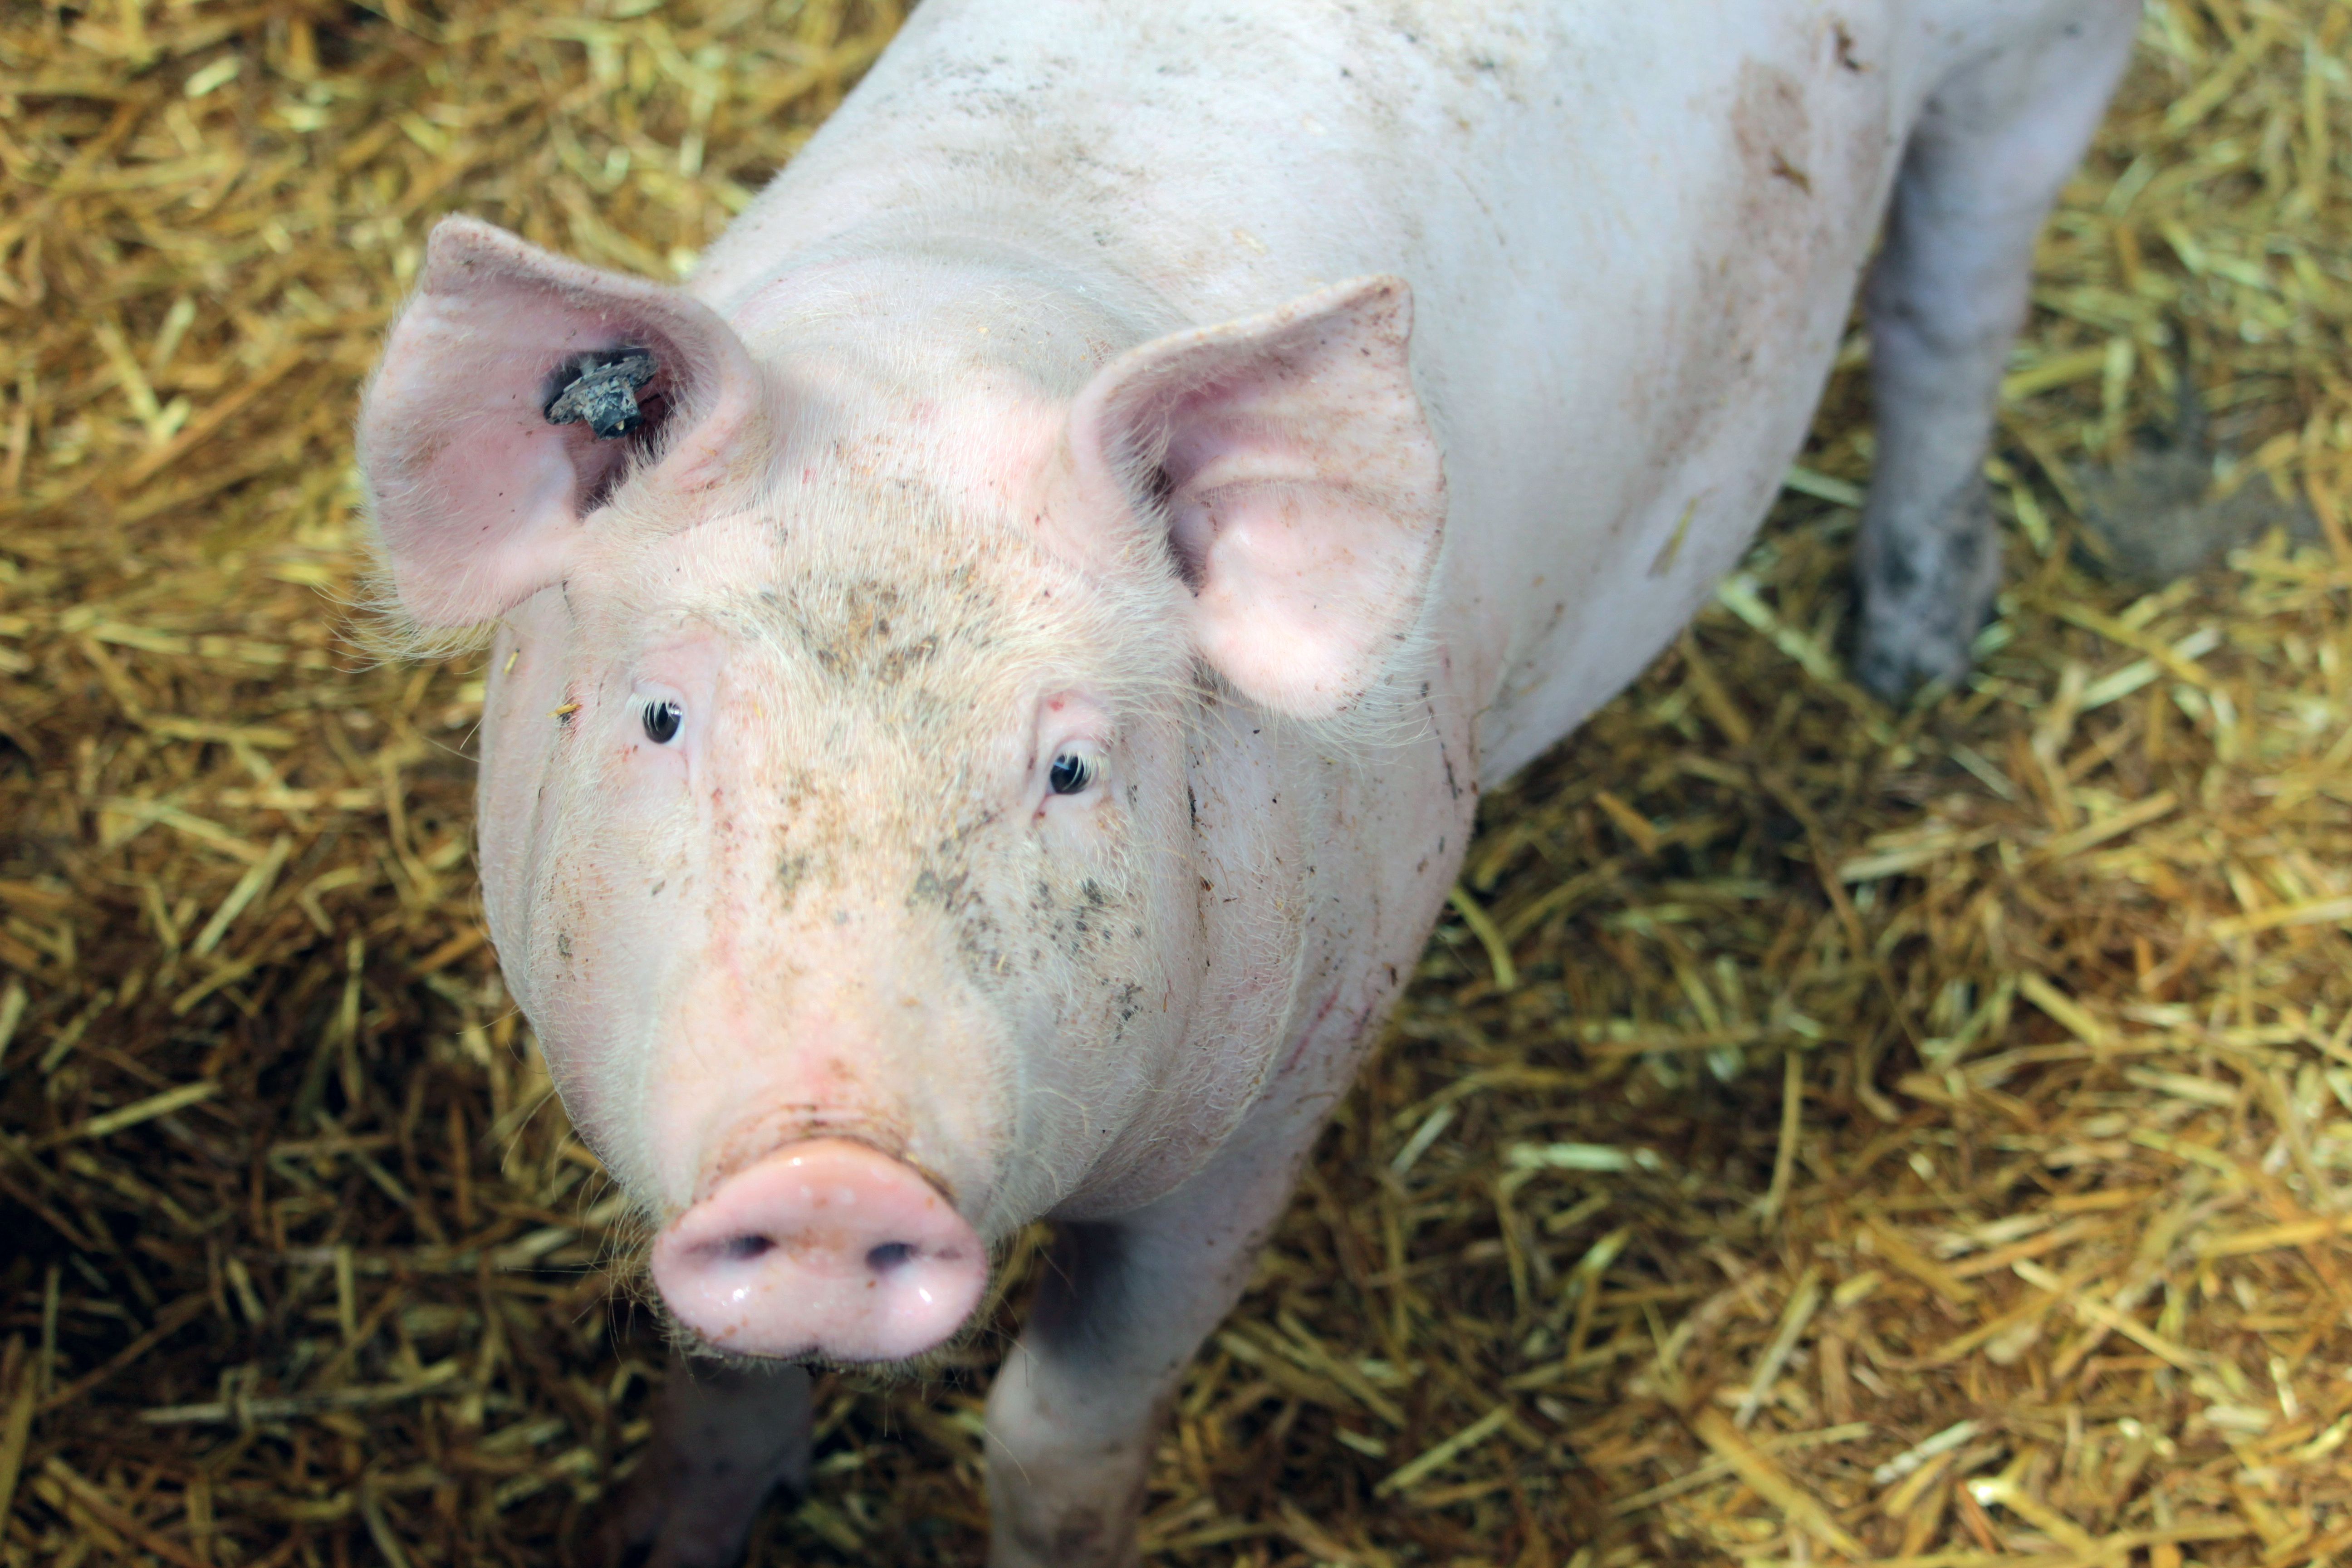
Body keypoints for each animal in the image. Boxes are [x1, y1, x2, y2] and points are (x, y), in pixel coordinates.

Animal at [354, 1, 2138, 1561]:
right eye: (661, 718)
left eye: (1074, 765)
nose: (824, 1170)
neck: (961, 319)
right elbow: (715, 1377)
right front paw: (659, 1539)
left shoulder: (1278, 1098)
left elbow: (1060, 1427)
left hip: (2035, 69)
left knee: (1950, 312)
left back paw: (1914, 647)